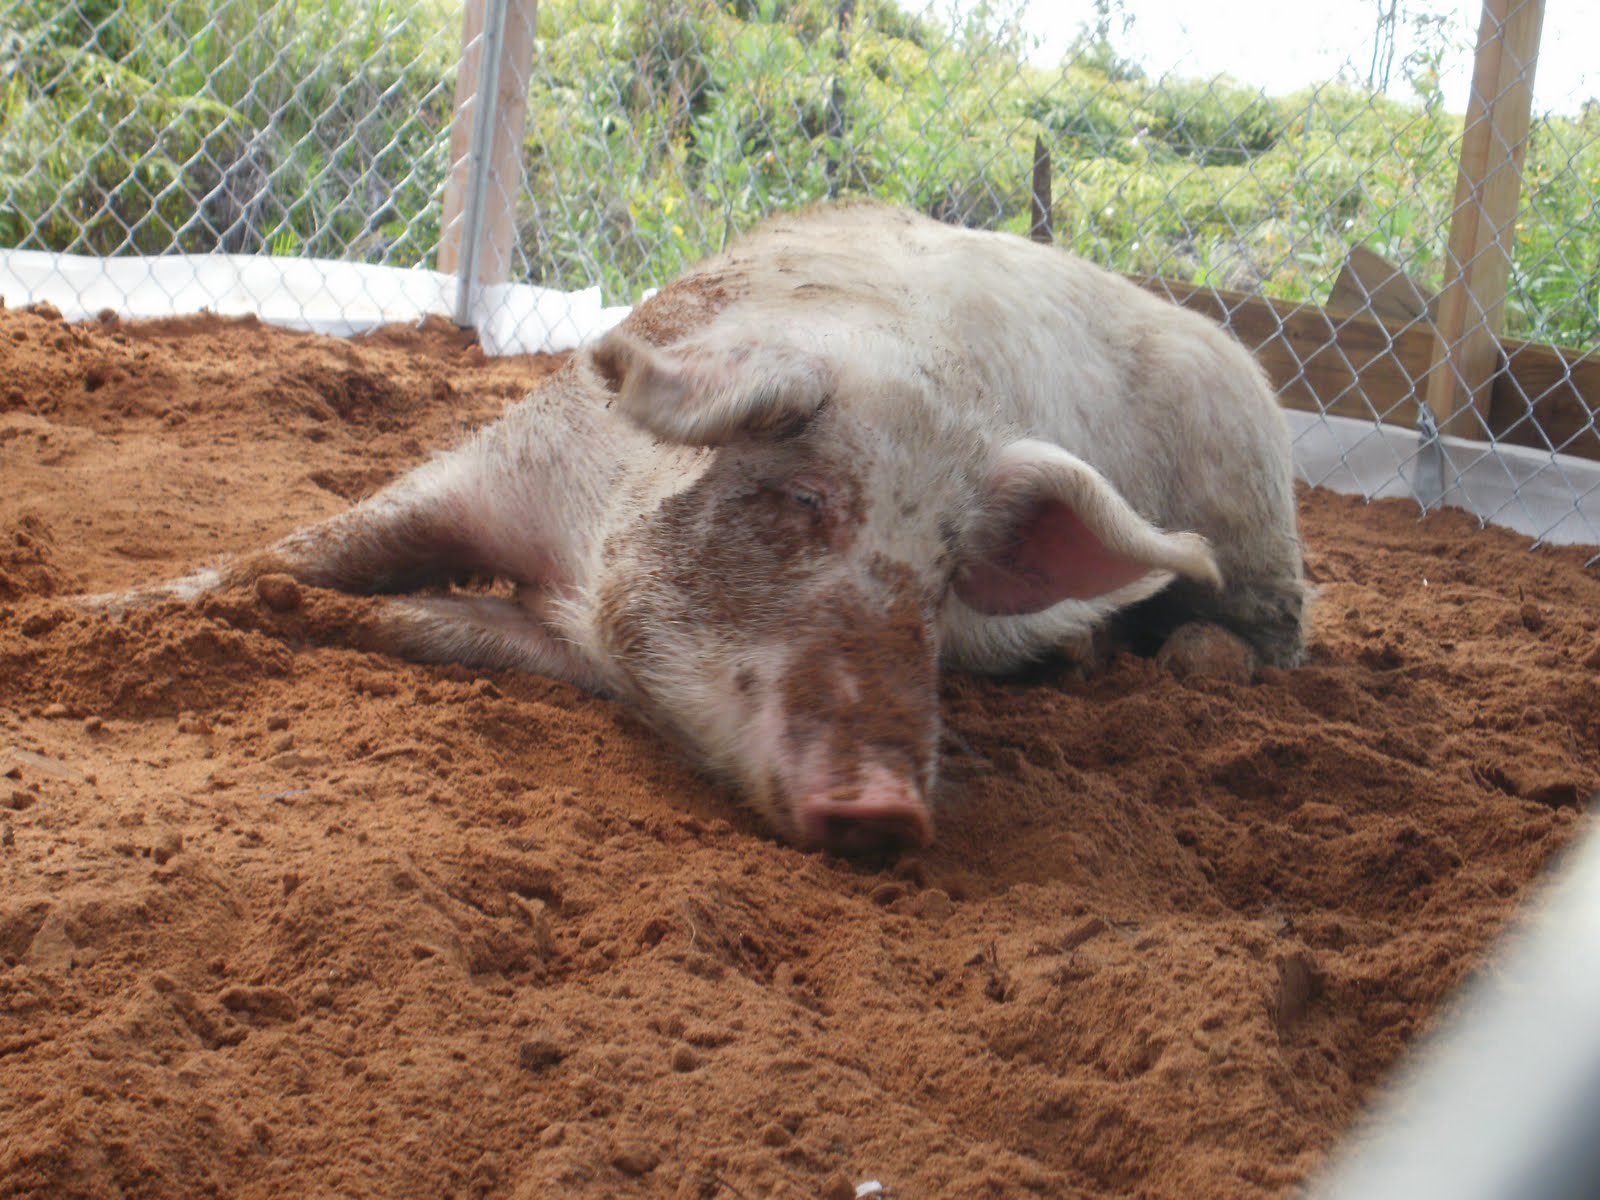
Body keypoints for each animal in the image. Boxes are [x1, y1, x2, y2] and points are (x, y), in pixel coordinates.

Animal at [93, 202, 1305, 855]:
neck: (580, 570)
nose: (888, 810)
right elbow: (310, 556)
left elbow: (425, 620)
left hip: (1254, 511)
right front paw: (97, 612)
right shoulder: (500, 469)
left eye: (945, 571)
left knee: (1273, 633)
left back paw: (1168, 655)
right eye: (803, 500)